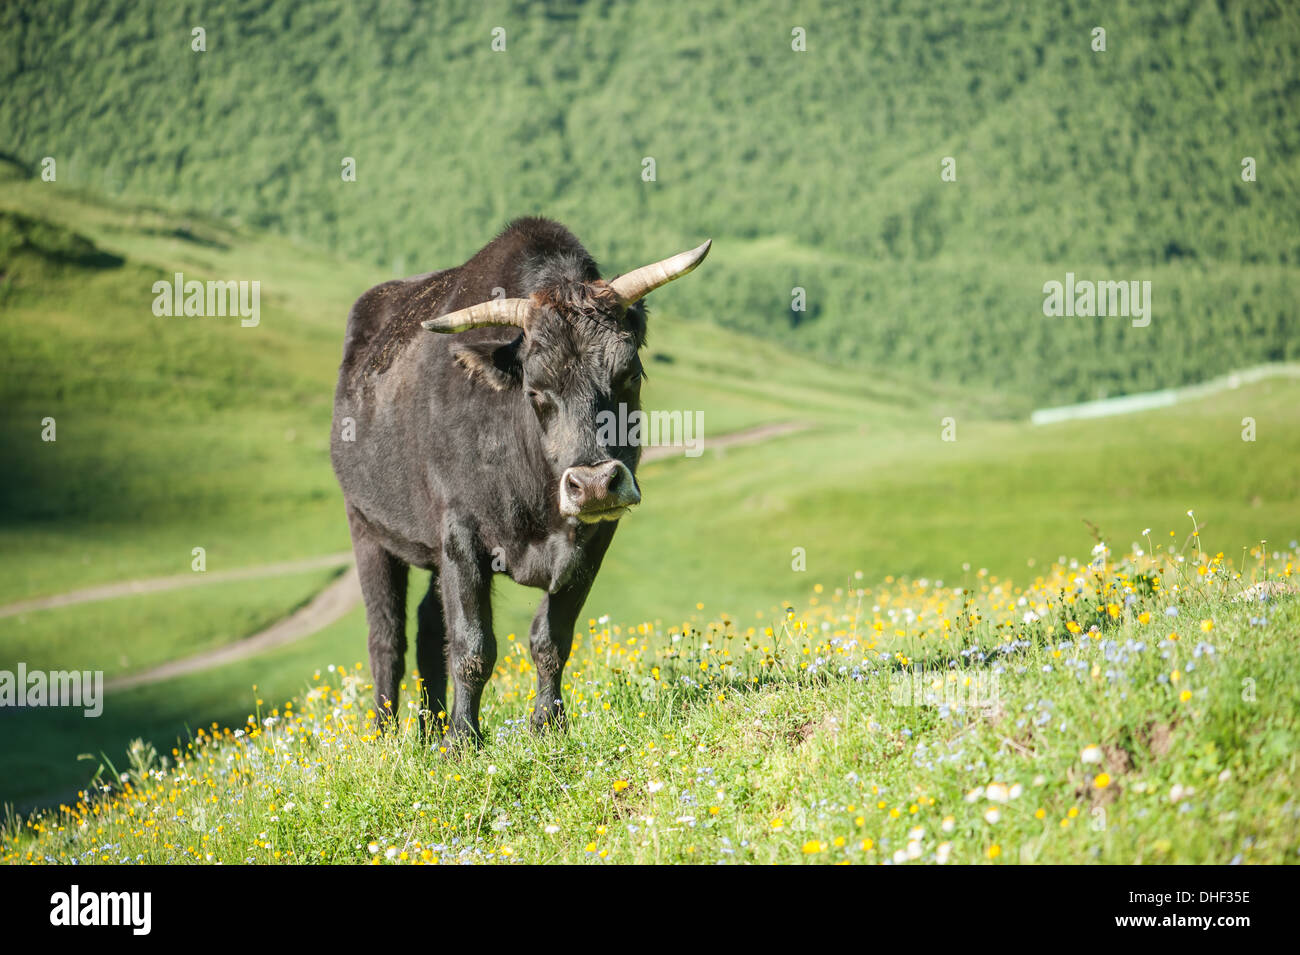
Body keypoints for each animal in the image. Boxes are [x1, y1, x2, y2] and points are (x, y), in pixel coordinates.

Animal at [330, 218, 711, 745]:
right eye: (535, 390)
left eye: (629, 374)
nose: (594, 484)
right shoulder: (460, 534)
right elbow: (472, 646)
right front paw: (462, 741)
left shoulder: (594, 538)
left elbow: (551, 638)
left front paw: (548, 724)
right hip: (365, 526)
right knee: (386, 636)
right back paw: (386, 736)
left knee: (427, 626)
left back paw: (429, 729)